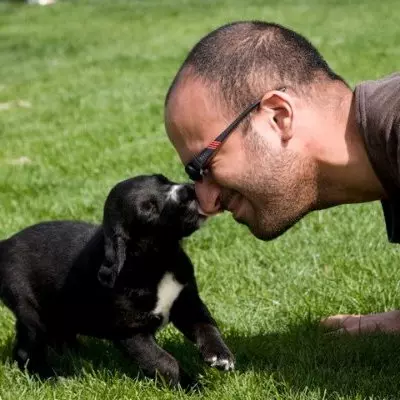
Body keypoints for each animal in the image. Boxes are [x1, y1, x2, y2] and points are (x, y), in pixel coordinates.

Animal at [0, 174, 234, 384]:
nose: (188, 190)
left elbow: (206, 326)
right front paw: (192, 386)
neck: (159, 260)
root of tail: (6, 243)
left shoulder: (187, 302)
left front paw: (220, 355)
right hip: (32, 311)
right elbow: (164, 362)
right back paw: (51, 378)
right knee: (27, 349)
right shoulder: (131, 332)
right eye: (148, 209)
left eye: (163, 180)